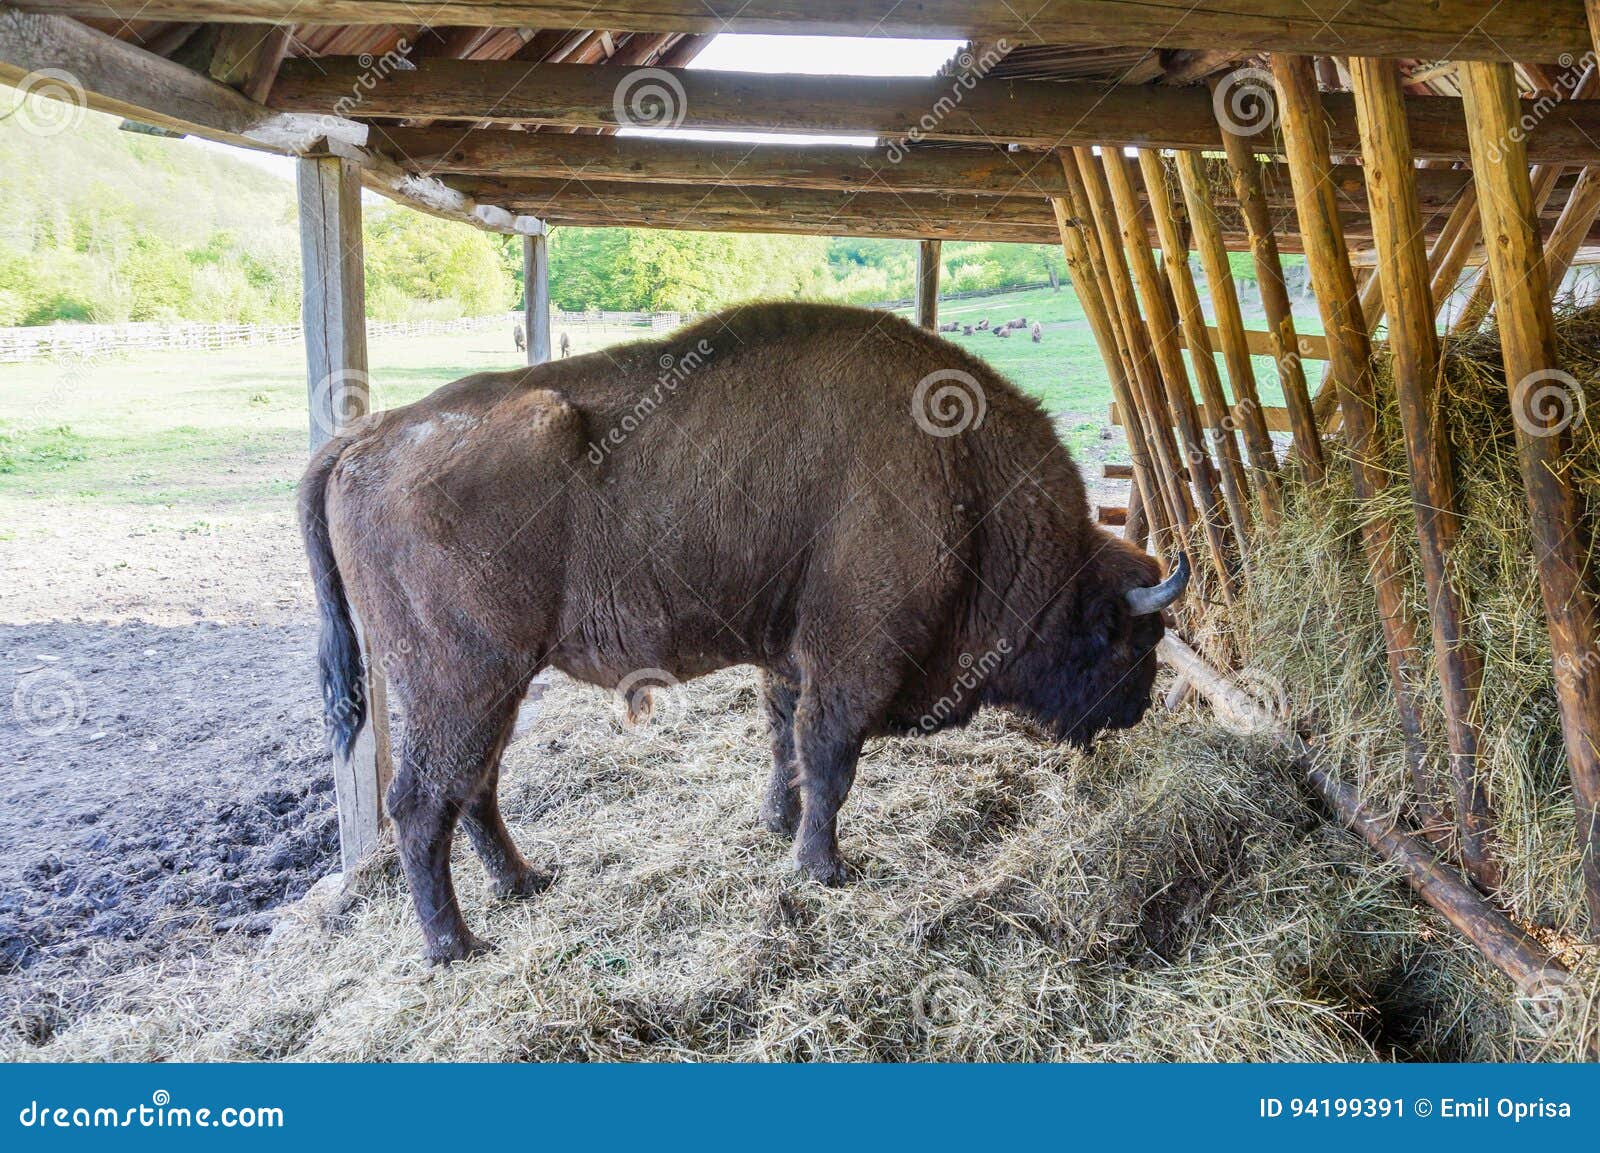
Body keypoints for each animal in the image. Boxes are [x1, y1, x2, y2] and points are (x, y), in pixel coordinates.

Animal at [300, 302, 1187, 963]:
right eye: (1127, 638)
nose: (1139, 709)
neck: (965, 476)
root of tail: (366, 437)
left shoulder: (790, 655)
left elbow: (784, 739)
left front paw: (776, 825)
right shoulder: (852, 657)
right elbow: (828, 756)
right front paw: (823, 867)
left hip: (495, 685)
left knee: (473, 786)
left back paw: (524, 883)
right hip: (461, 679)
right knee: (422, 801)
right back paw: (455, 945)